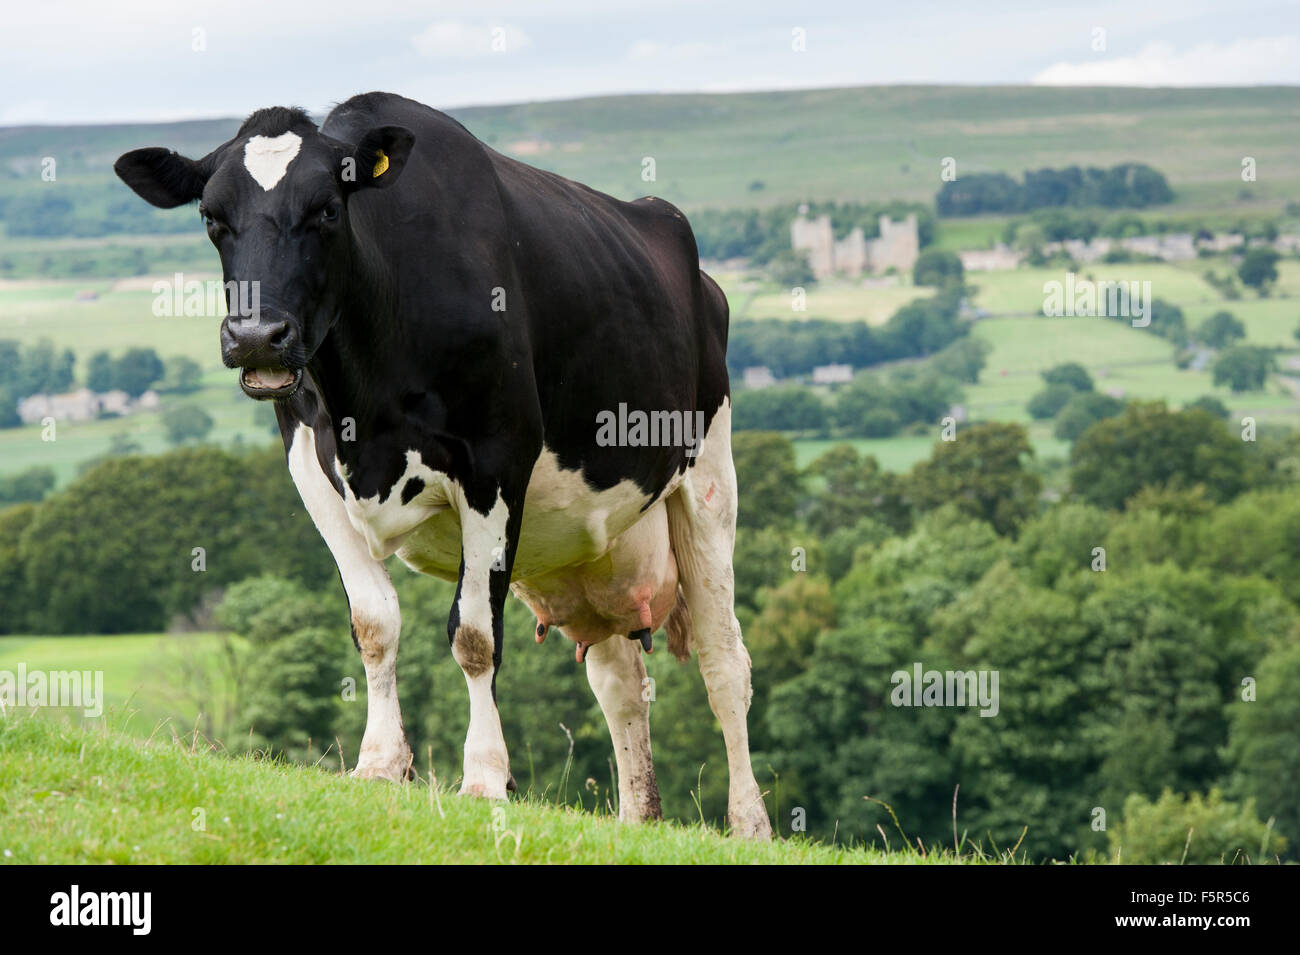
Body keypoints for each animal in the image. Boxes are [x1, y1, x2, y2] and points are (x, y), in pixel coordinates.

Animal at [114, 91, 772, 838]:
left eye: (327, 211)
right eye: (211, 218)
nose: (258, 337)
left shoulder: (494, 462)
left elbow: (475, 635)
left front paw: (484, 777)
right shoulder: (311, 471)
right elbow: (374, 625)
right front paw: (378, 763)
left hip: (709, 480)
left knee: (725, 661)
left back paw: (750, 823)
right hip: (590, 547)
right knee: (621, 683)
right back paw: (639, 818)